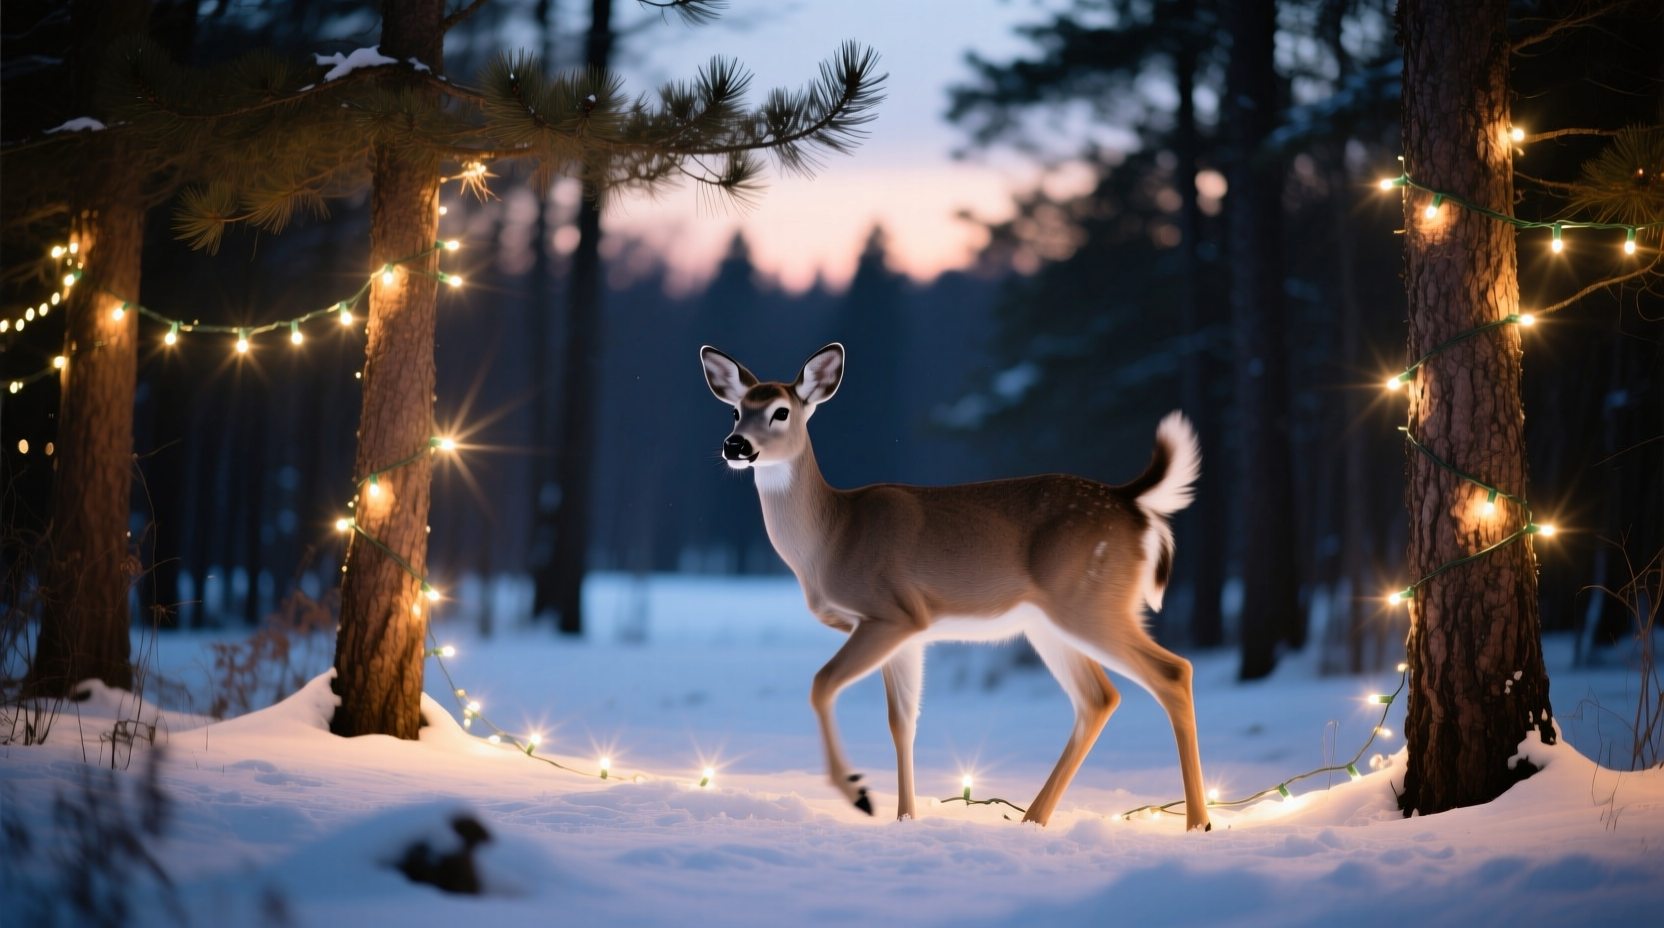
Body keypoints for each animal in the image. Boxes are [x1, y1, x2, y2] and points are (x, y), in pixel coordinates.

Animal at [700, 343, 1211, 832]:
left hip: (1090, 602)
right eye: (735, 411)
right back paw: (1032, 820)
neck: (833, 536)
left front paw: (859, 793)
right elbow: (902, 723)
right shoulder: (909, 631)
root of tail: (1132, 501)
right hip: (1051, 623)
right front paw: (904, 819)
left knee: (1172, 672)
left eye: (781, 412)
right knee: (1099, 698)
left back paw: (1198, 822)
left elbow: (822, 684)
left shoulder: (889, 612)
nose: (735, 445)